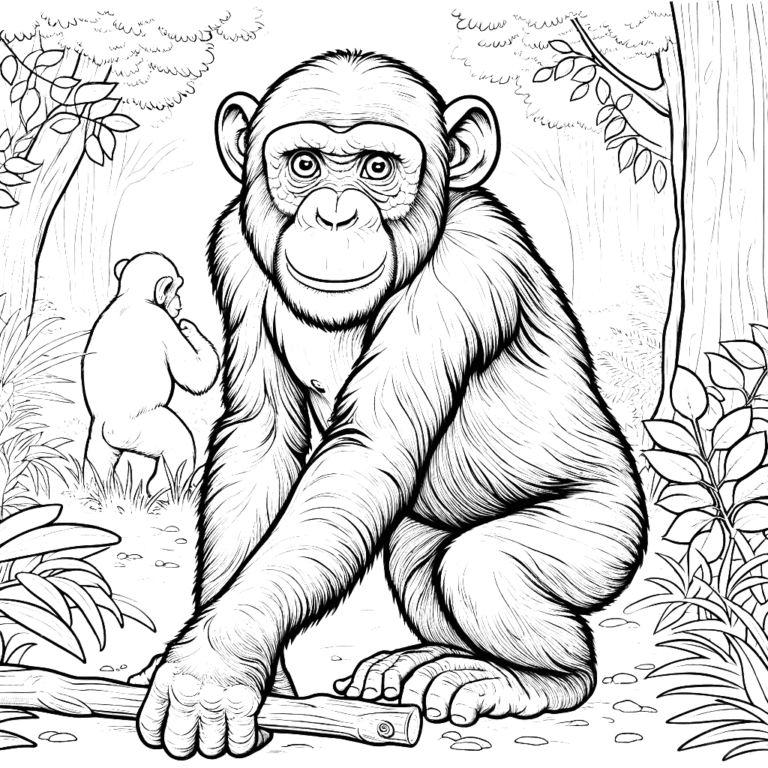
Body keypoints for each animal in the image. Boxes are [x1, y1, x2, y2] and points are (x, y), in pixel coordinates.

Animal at [82, 252, 220, 494]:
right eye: (176, 289)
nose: (179, 303)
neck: (132, 297)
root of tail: (107, 426)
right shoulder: (163, 324)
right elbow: (194, 375)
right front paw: (191, 330)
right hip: (141, 429)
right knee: (179, 444)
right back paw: (168, 490)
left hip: (100, 437)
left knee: (96, 462)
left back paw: (92, 492)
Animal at [135, 51, 647, 759]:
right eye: (305, 164)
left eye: (378, 168)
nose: (335, 216)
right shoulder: (235, 255)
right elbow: (258, 440)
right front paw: (258, 673)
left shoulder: (461, 278)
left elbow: (365, 451)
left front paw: (210, 668)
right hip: (426, 535)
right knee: (419, 566)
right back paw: (432, 660)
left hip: (602, 537)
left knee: (484, 566)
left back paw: (527, 681)